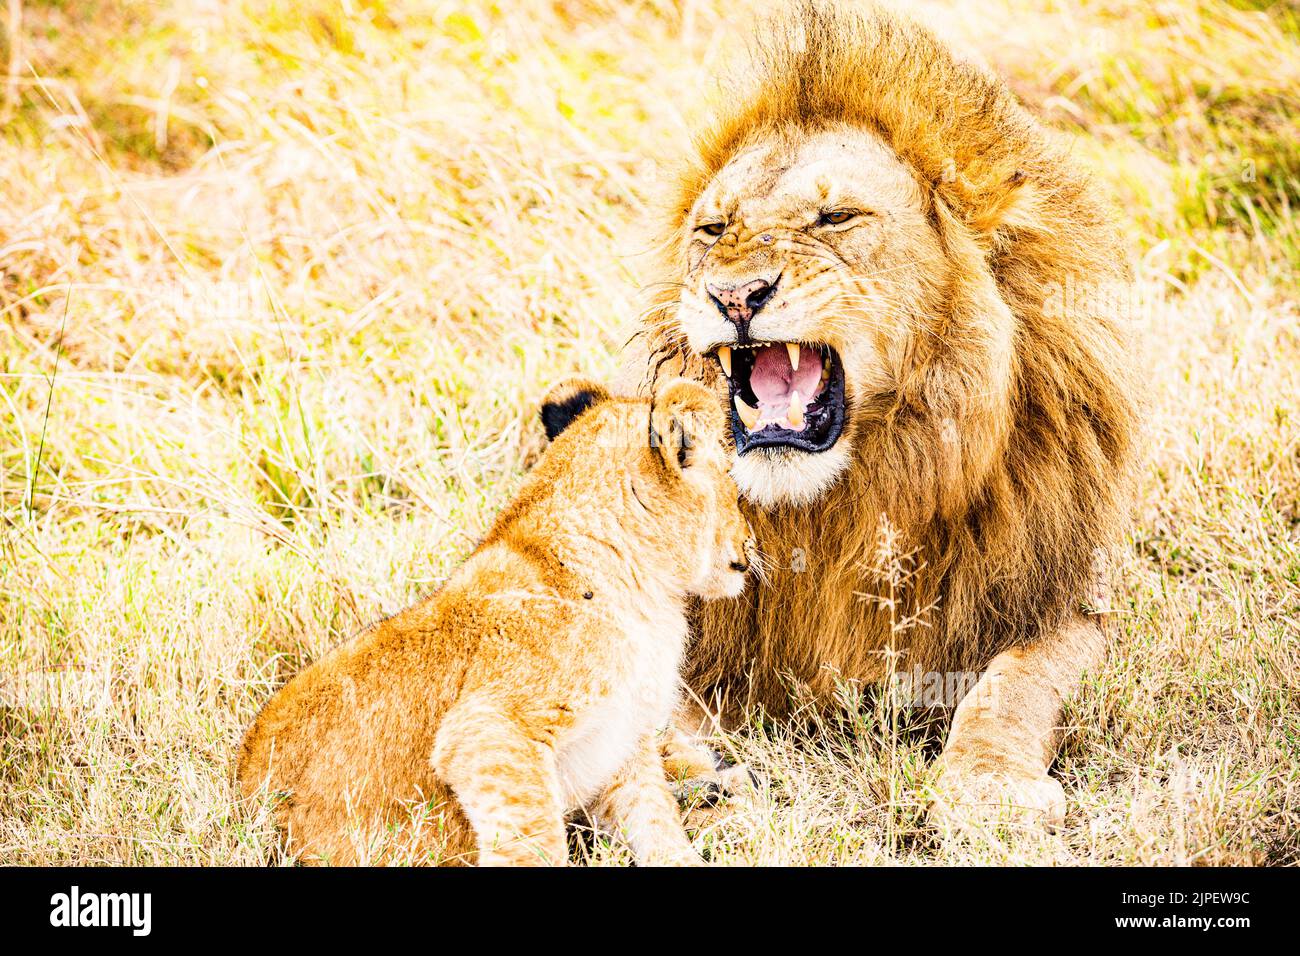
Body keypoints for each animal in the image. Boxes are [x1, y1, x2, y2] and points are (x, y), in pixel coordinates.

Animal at [236, 378, 754, 865]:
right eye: (733, 488)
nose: (750, 543)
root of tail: (243, 795)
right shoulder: (488, 728)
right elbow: (536, 840)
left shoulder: (622, 743)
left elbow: (654, 819)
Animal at [621, 1, 1138, 829]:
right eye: (713, 230)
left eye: (835, 218)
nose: (734, 295)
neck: (844, 503)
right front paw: (698, 782)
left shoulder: (1064, 600)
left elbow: (1016, 684)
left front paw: (988, 787)